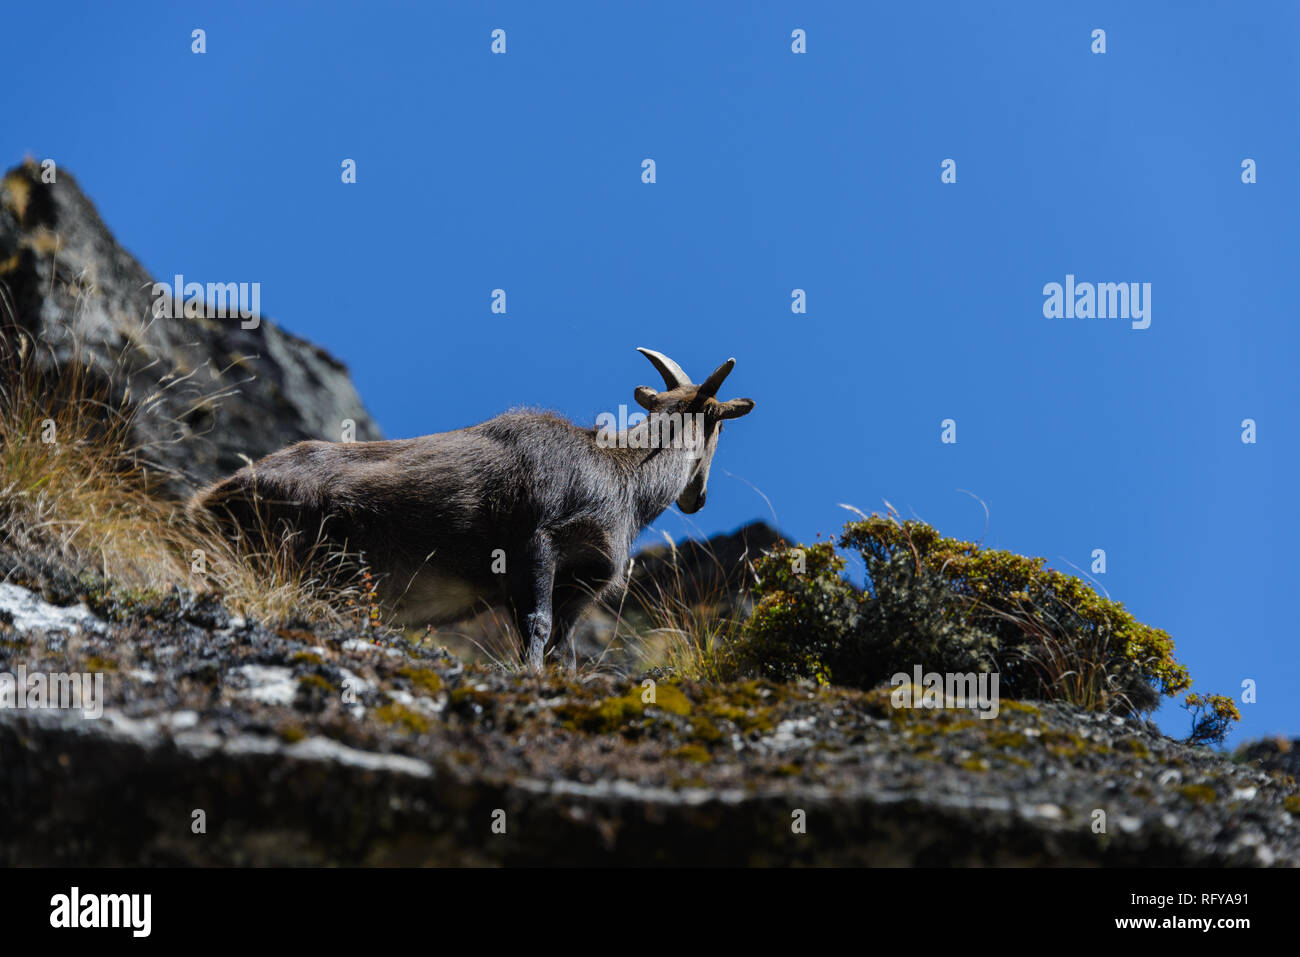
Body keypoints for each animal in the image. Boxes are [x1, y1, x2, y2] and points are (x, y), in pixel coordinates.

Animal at [190, 348, 755, 669]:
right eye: (718, 426)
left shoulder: (580, 584)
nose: (698, 498)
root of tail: (211, 498)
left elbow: (564, 650)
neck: (619, 479)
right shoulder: (535, 544)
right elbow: (537, 628)